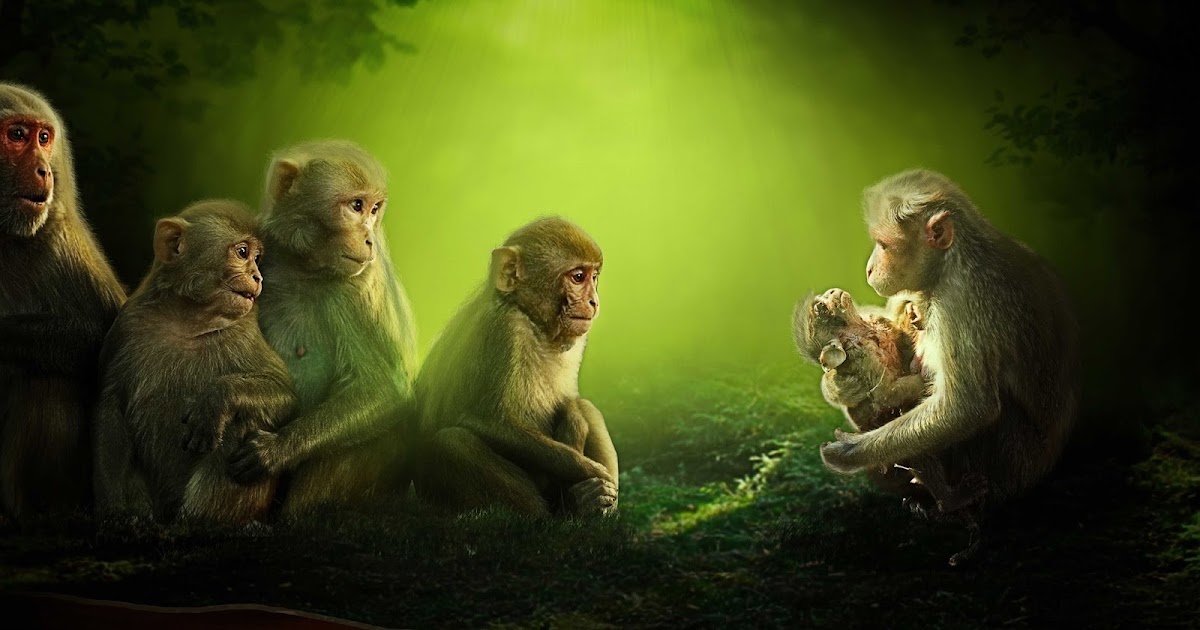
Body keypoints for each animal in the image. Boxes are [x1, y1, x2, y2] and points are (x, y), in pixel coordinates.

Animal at [92, 200, 296, 527]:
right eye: (242, 252)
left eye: (257, 258)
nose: (258, 277)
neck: (188, 321)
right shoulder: (127, 325)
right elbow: (110, 408)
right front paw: (114, 512)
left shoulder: (245, 333)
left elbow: (285, 394)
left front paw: (216, 400)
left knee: (242, 420)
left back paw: (197, 522)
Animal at [227, 140, 418, 515]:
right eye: (356, 206)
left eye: (374, 209)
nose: (369, 239)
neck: (304, 266)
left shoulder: (359, 284)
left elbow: (384, 388)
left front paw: (277, 450)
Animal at [412, 217, 619, 517]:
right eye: (578, 277)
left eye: (594, 277)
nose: (594, 301)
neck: (532, 321)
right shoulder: (505, 330)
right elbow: (486, 422)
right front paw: (586, 470)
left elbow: (573, 402)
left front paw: (575, 420)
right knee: (452, 443)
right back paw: (563, 509)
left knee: (588, 408)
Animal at [819, 168, 1080, 565]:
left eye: (883, 244)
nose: (869, 268)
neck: (949, 265)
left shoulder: (963, 302)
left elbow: (968, 408)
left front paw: (853, 452)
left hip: (1012, 467)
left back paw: (955, 505)